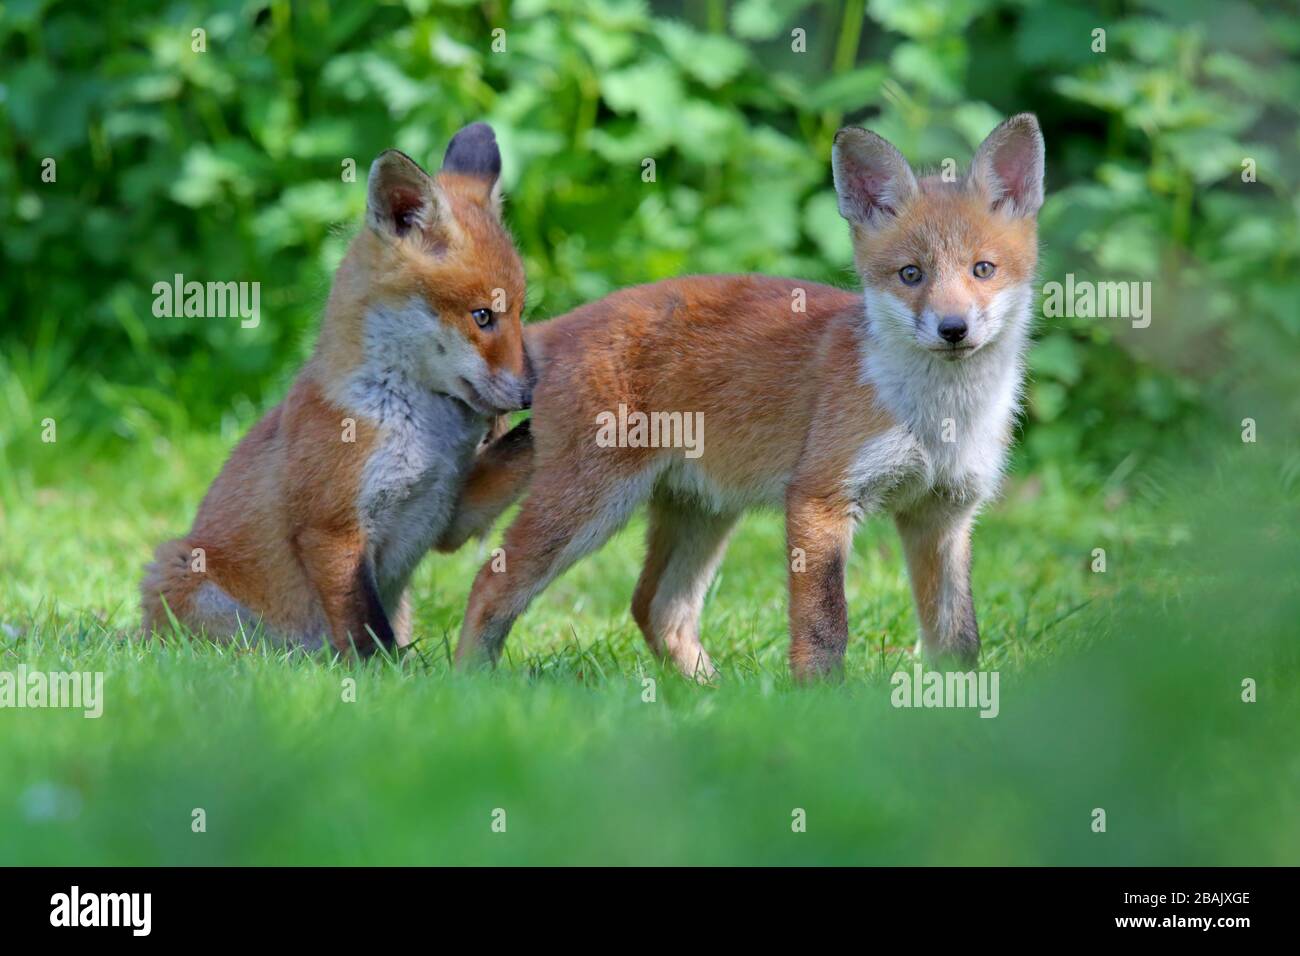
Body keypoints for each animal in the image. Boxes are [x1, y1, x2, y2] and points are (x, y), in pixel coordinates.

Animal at [140, 123, 534, 654]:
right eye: (482, 316)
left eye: (520, 311)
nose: (528, 393)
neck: (419, 430)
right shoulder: (332, 530)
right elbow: (364, 624)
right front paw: (384, 673)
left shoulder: (448, 510)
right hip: (181, 574)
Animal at [451, 113, 1045, 681]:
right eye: (911, 274)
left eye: (983, 269)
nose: (953, 329)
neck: (939, 419)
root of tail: (552, 327)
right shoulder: (819, 499)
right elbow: (825, 628)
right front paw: (822, 701)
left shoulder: (943, 513)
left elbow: (958, 638)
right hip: (588, 506)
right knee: (488, 584)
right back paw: (467, 687)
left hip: (702, 510)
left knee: (655, 607)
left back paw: (707, 694)